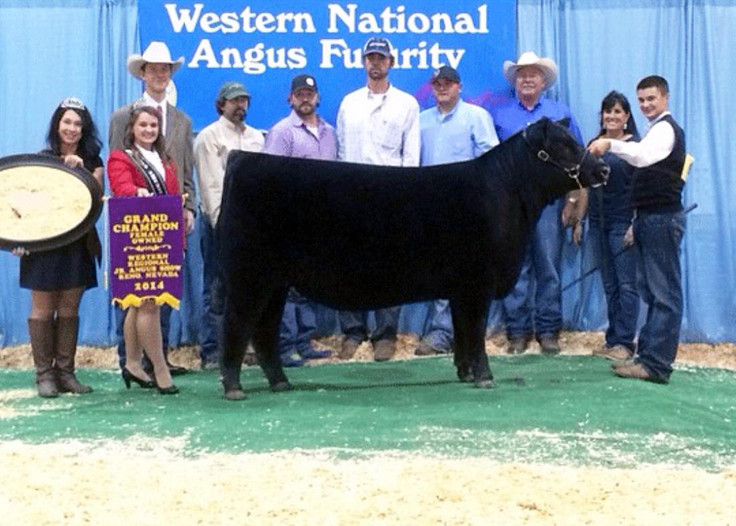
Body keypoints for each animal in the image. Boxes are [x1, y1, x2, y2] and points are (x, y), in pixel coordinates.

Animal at [217, 117, 609, 400]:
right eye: (564, 145)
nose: (604, 170)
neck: (505, 191)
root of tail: (242, 158)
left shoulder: (461, 288)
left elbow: (463, 331)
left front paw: (465, 372)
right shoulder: (478, 282)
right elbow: (476, 331)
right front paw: (484, 377)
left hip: (275, 282)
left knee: (264, 330)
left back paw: (280, 382)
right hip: (249, 275)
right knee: (238, 325)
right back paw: (234, 388)